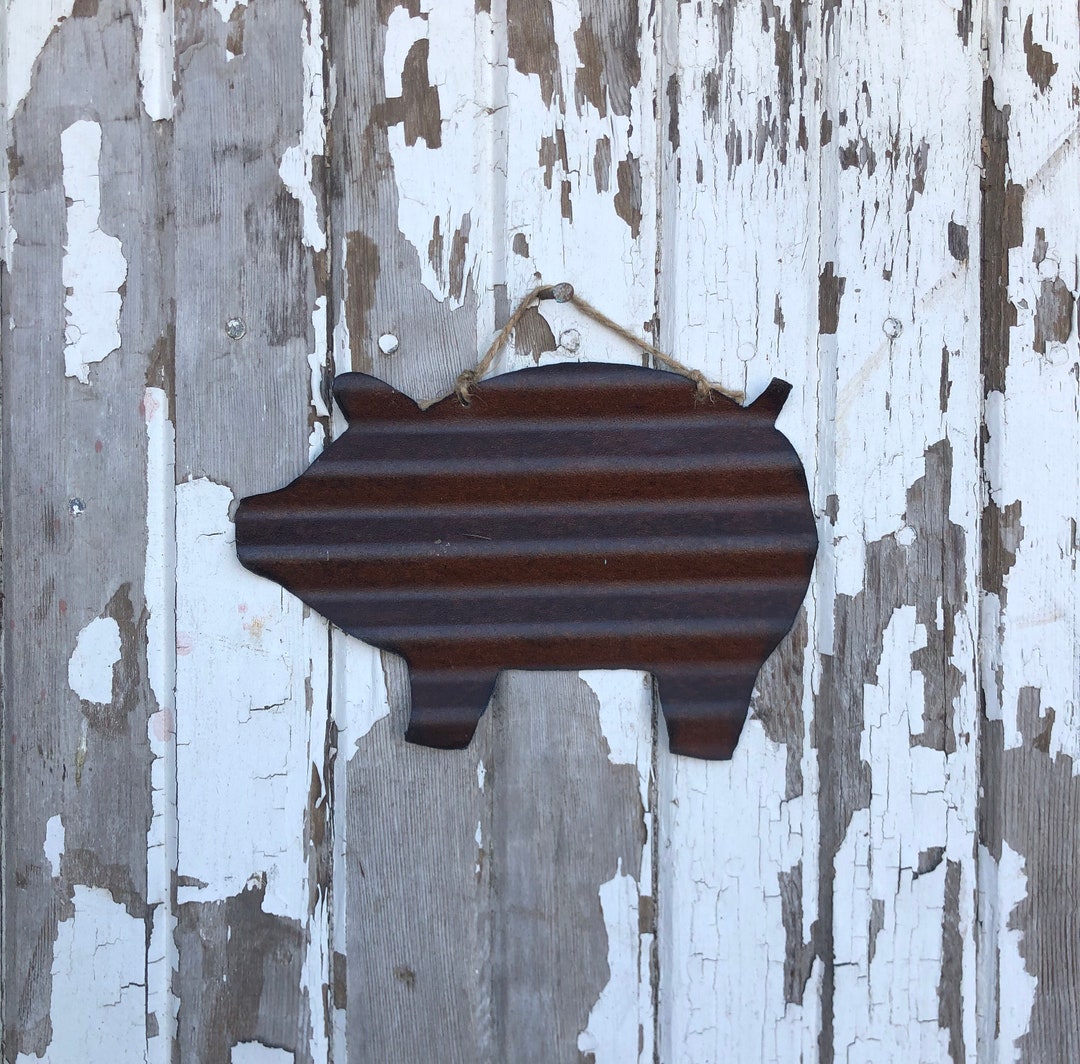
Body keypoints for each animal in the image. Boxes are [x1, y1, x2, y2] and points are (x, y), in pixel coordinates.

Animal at [234, 362, 818, 759]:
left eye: (324, 479)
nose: (245, 509)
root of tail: (765, 411)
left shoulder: (454, 653)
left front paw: (428, 742)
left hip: (734, 642)